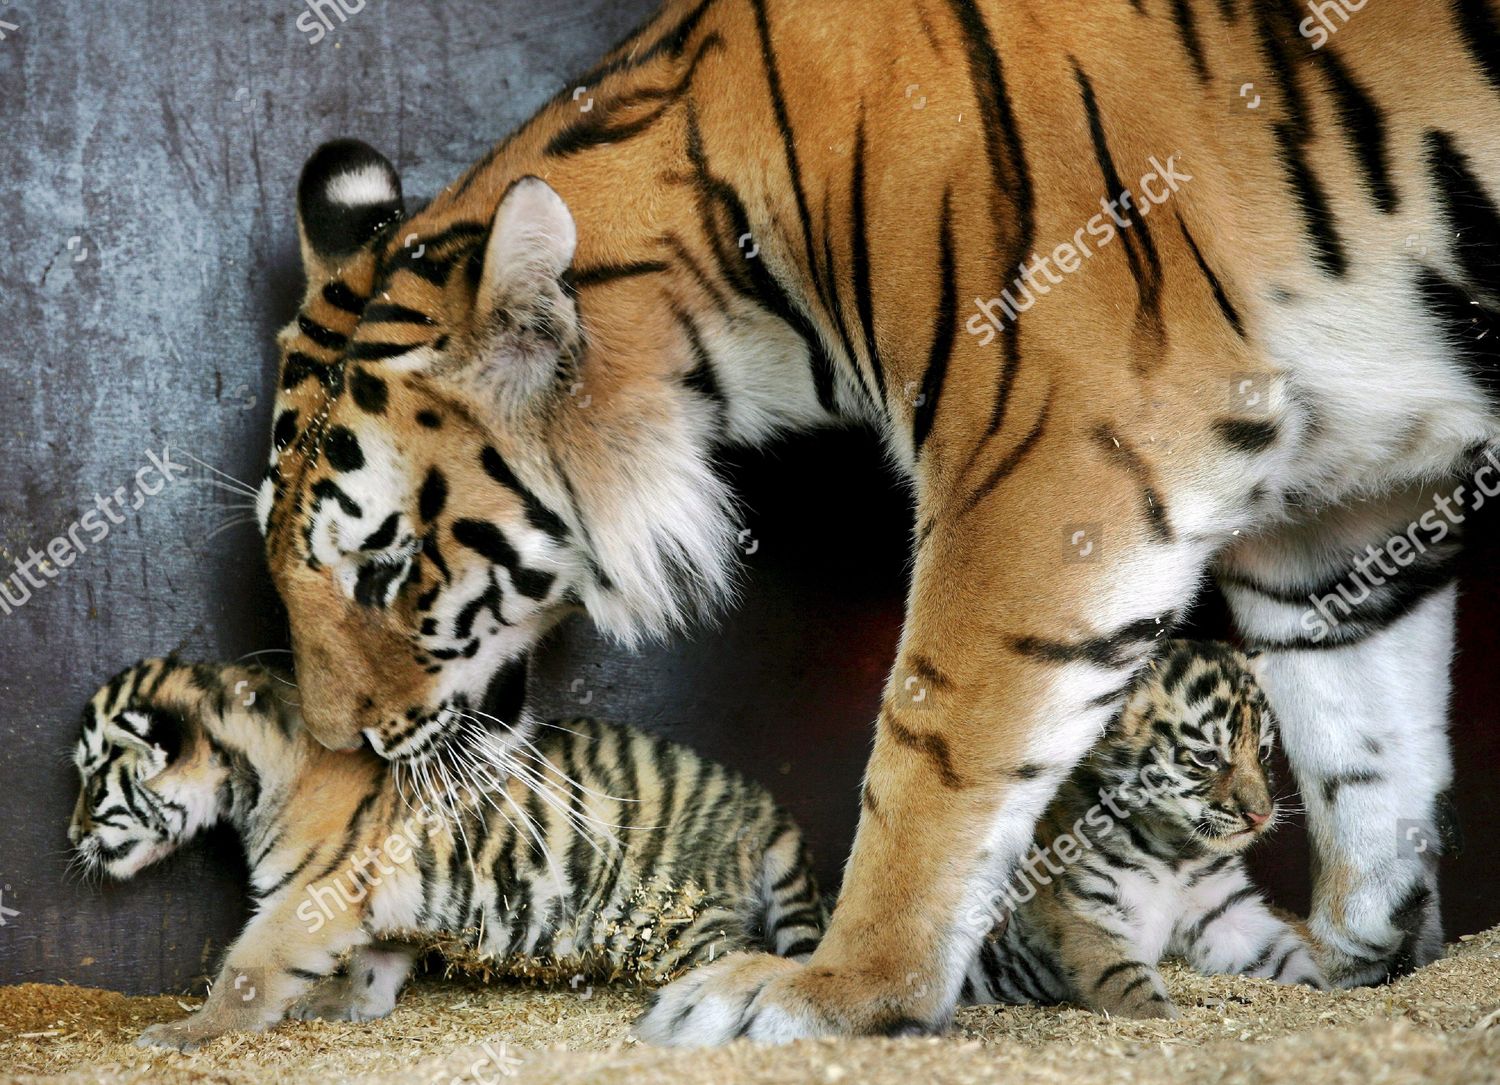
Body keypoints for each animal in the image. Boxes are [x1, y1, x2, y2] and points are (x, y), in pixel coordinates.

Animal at [68, 658, 823, 1052]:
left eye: (93, 777)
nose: (72, 834)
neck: (257, 770)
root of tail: (763, 802)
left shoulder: (305, 899)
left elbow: (245, 973)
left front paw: (184, 1031)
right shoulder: (382, 896)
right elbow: (377, 961)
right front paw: (352, 1004)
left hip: (675, 918)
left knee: (746, 963)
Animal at [962, 640, 1325, 1017]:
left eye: (1263, 751)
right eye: (1207, 757)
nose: (1260, 816)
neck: (1172, 847)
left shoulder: (1223, 910)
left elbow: (1284, 956)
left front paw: (1317, 994)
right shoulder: (1086, 909)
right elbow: (1125, 980)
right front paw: (1164, 1018)